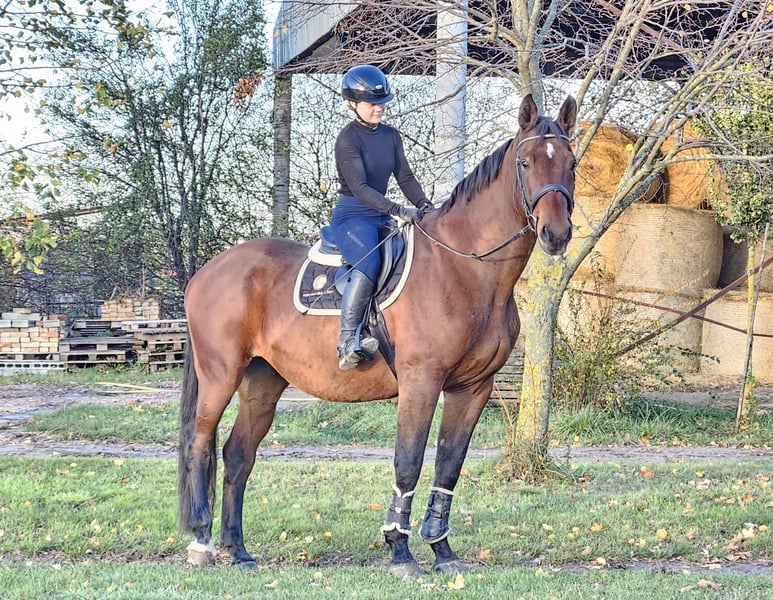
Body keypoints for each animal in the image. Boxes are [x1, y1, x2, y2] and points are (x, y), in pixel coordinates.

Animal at [178, 93, 577, 576]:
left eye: (571, 163)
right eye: (525, 162)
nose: (556, 234)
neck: (463, 268)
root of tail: (206, 272)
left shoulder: (473, 388)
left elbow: (448, 467)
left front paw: (442, 550)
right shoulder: (421, 383)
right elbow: (408, 462)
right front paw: (399, 549)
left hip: (262, 382)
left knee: (238, 456)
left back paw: (237, 550)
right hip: (220, 376)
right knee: (200, 444)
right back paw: (201, 542)